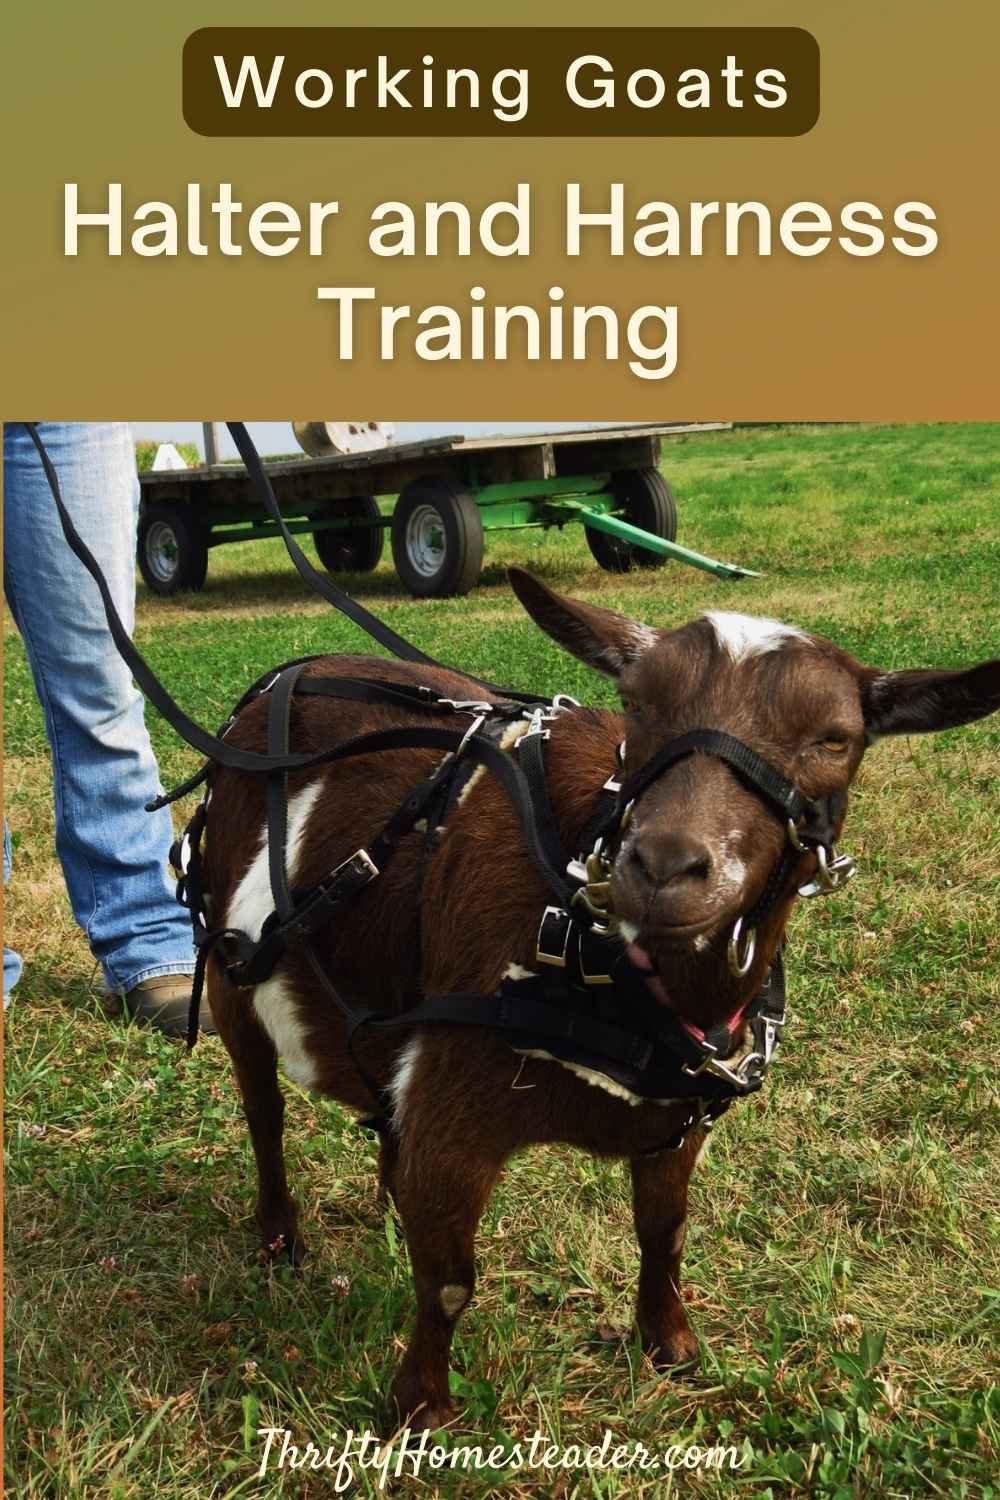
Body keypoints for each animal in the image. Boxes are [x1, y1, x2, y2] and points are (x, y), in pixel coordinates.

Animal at [202, 568, 999, 1429]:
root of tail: (285, 677)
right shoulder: (455, 1108)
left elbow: (665, 1230)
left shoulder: (678, 1118)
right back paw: (279, 1237)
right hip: (228, 969)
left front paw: (670, 1345)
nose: (666, 863)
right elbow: (447, 1283)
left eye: (834, 739)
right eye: (638, 704)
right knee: (263, 1110)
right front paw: (422, 1411)